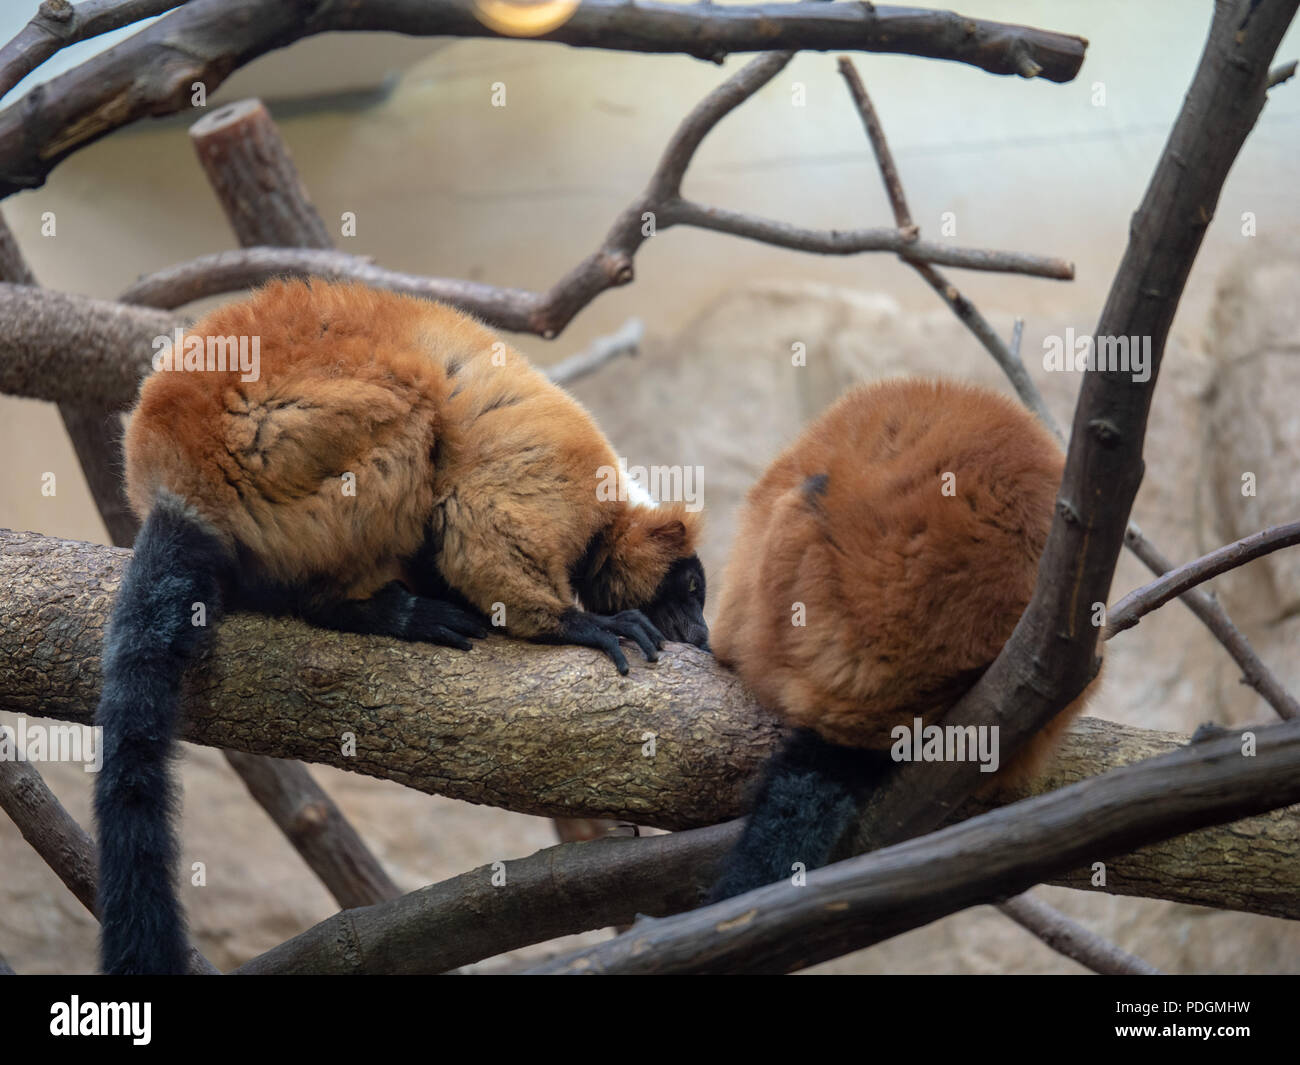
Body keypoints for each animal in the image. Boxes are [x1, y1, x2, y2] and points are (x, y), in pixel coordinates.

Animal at [95, 278, 709, 974]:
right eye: (690, 590)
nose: (702, 636)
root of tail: (177, 478)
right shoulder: (555, 469)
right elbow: (484, 529)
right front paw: (584, 624)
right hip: (283, 448)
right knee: (413, 412)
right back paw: (376, 609)